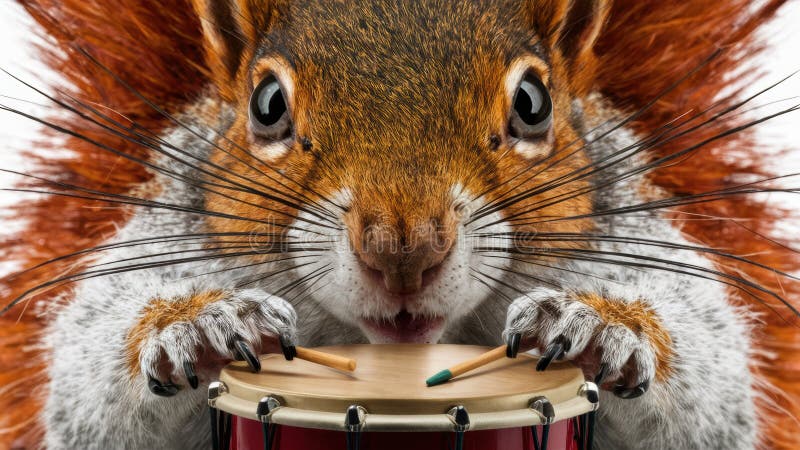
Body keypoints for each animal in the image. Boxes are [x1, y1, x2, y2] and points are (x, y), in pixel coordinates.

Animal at [1, 0, 798, 448]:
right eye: (266, 105)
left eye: (534, 102)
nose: (403, 251)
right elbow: (84, 403)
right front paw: (195, 325)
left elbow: (718, 404)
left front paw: (604, 327)